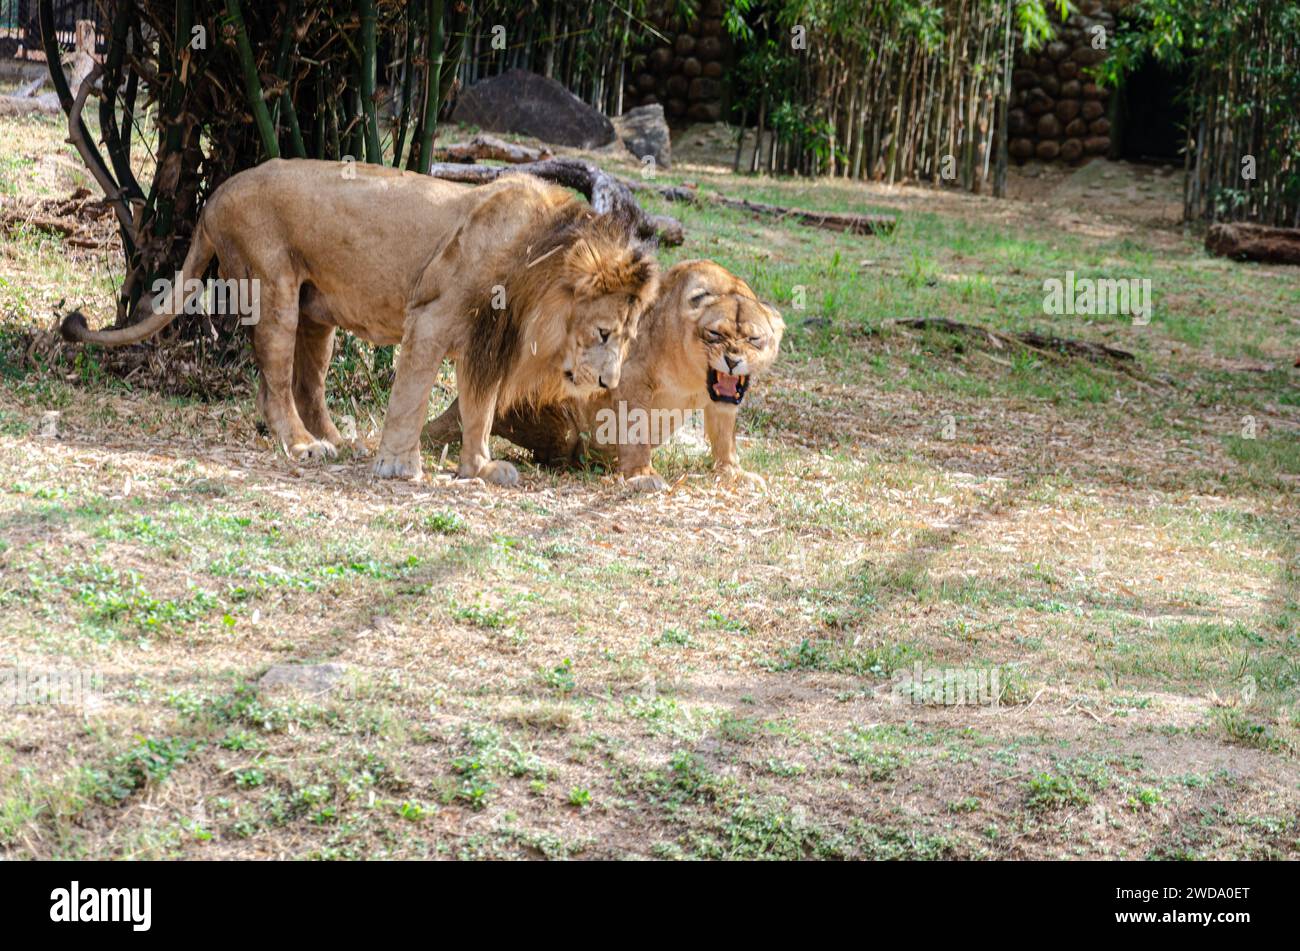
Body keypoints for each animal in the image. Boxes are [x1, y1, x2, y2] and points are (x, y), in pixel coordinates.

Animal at [61, 158, 657, 485]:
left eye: (629, 339)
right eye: (604, 333)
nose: (608, 383)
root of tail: (215, 197)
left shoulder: (484, 343)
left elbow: (479, 408)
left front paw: (480, 468)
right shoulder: (432, 317)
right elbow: (413, 395)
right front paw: (398, 464)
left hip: (314, 310)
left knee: (306, 382)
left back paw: (334, 440)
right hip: (271, 285)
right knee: (274, 382)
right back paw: (302, 445)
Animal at [424, 259, 784, 490]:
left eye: (753, 339)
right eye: (715, 334)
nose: (732, 360)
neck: (694, 376)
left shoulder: (721, 403)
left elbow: (724, 440)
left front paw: (734, 473)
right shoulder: (631, 377)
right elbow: (636, 432)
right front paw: (641, 474)